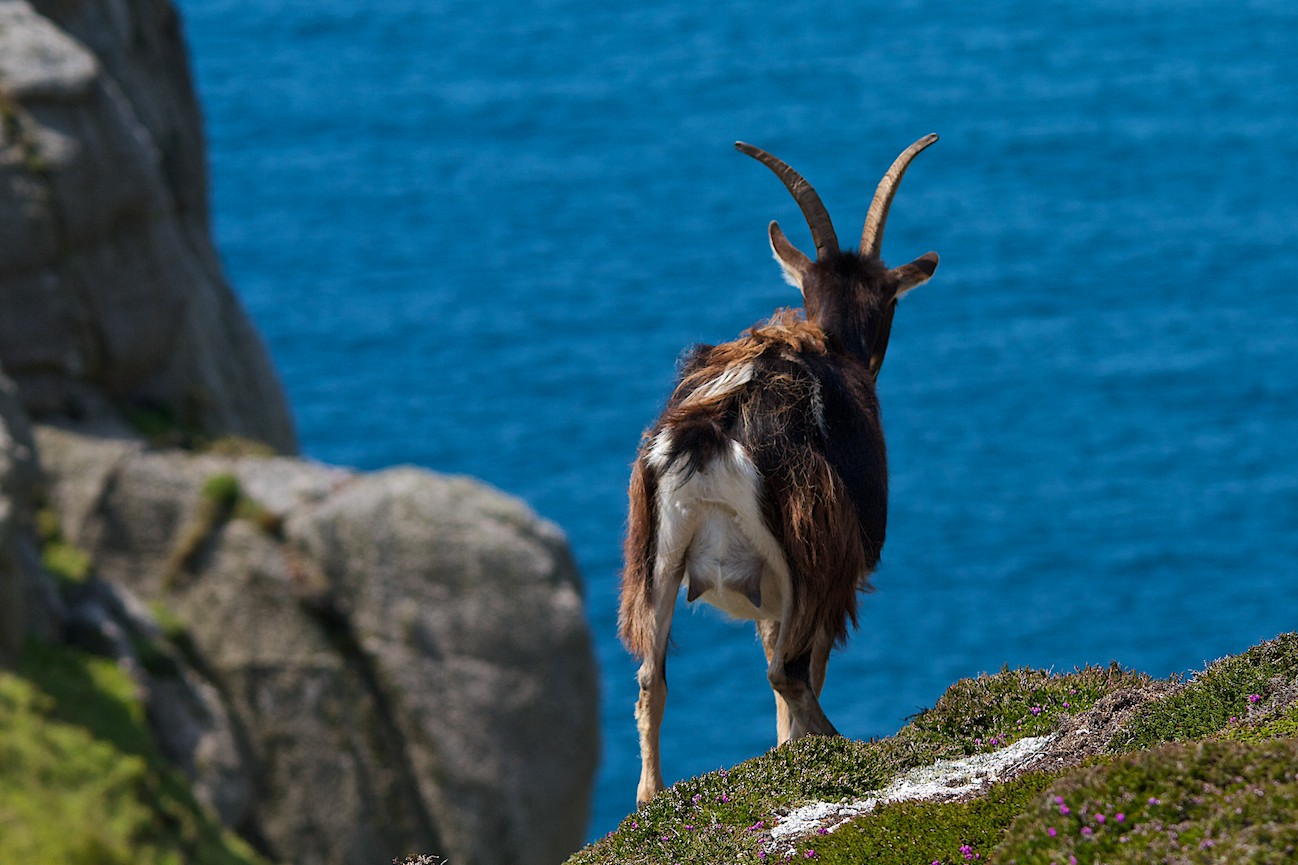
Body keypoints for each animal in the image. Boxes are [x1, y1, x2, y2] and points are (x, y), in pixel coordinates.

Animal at [618, 135, 939, 807]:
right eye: (891, 300)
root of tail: (712, 431)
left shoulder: (765, 589)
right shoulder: (826, 573)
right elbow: (803, 666)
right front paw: (799, 752)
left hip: (656, 553)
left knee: (651, 678)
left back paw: (650, 800)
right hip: (812, 554)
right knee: (788, 669)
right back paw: (844, 744)